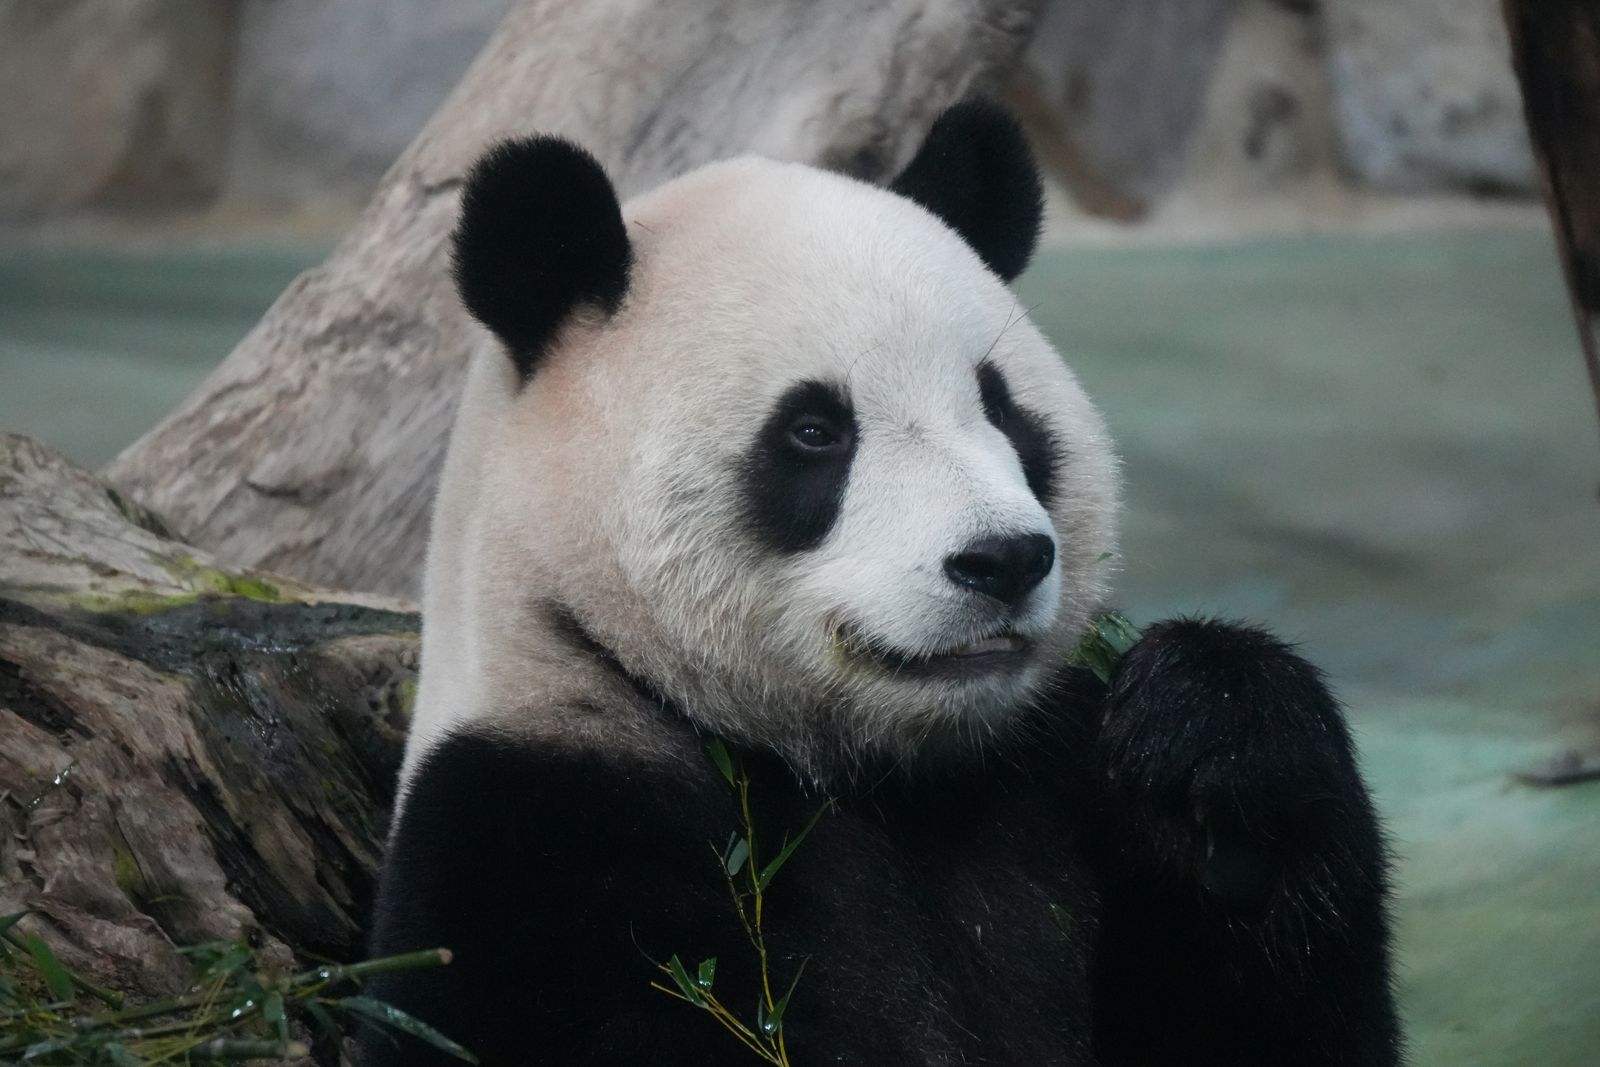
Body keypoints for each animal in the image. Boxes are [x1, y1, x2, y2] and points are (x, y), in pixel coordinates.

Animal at [362, 101, 1401, 1067]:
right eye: (815, 430)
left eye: (1001, 408)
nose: (1003, 559)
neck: (889, 778)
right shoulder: (536, 833)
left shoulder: (1050, 778)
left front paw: (1213, 759)